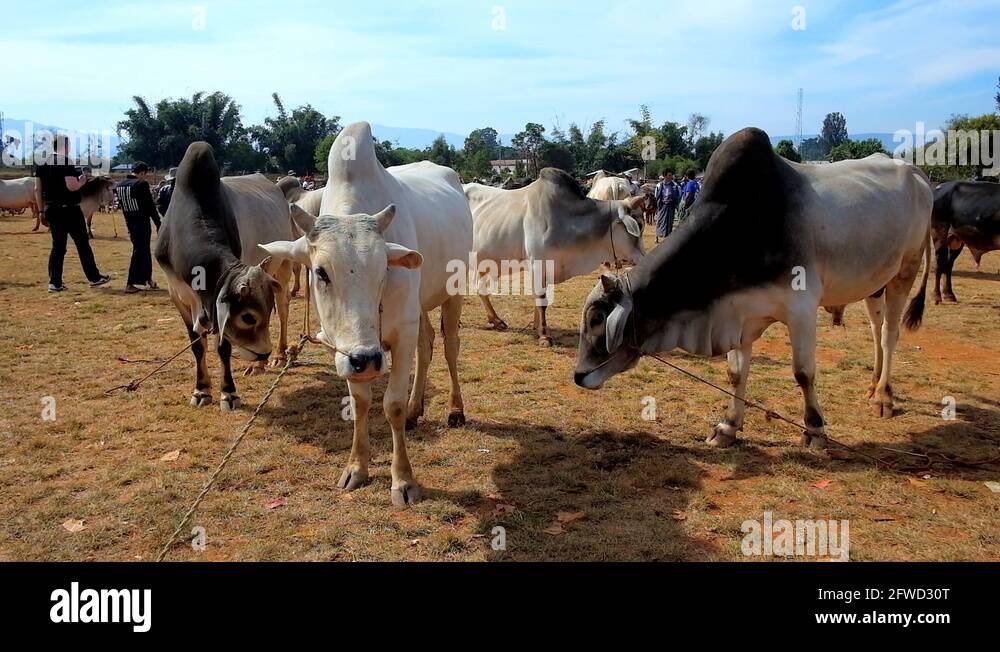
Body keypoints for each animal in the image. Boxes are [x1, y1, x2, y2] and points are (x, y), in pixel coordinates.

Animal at [154, 142, 294, 411]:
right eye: (248, 317)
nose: (263, 352)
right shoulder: (177, 295)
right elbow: (197, 345)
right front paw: (201, 390)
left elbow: (223, 347)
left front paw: (228, 394)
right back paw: (258, 365)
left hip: (283, 269)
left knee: (283, 310)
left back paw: (277, 357)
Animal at [261, 122, 472, 506]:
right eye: (320, 272)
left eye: (383, 268)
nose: (367, 359)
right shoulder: (347, 351)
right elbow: (360, 403)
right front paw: (356, 468)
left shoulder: (399, 336)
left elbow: (392, 405)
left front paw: (403, 481)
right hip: (418, 309)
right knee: (427, 346)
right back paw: (418, 409)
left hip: (453, 293)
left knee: (450, 347)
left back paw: (455, 410)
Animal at [463, 168, 646, 346]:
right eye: (639, 225)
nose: (645, 258)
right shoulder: (537, 265)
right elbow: (542, 301)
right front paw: (544, 336)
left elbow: (538, 300)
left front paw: (537, 328)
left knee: (479, 289)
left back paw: (495, 320)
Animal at [574, 128, 933, 449]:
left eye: (596, 320)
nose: (578, 376)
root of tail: (918, 173)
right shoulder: (736, 313)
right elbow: (735, 373)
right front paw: (728, 427)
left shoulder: (801, 309)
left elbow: (803, 373)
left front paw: (815, 430)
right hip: (876, 282)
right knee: (875, 327)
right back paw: (873, 387)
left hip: (906, 270)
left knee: (889, 333)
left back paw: (884, 396)